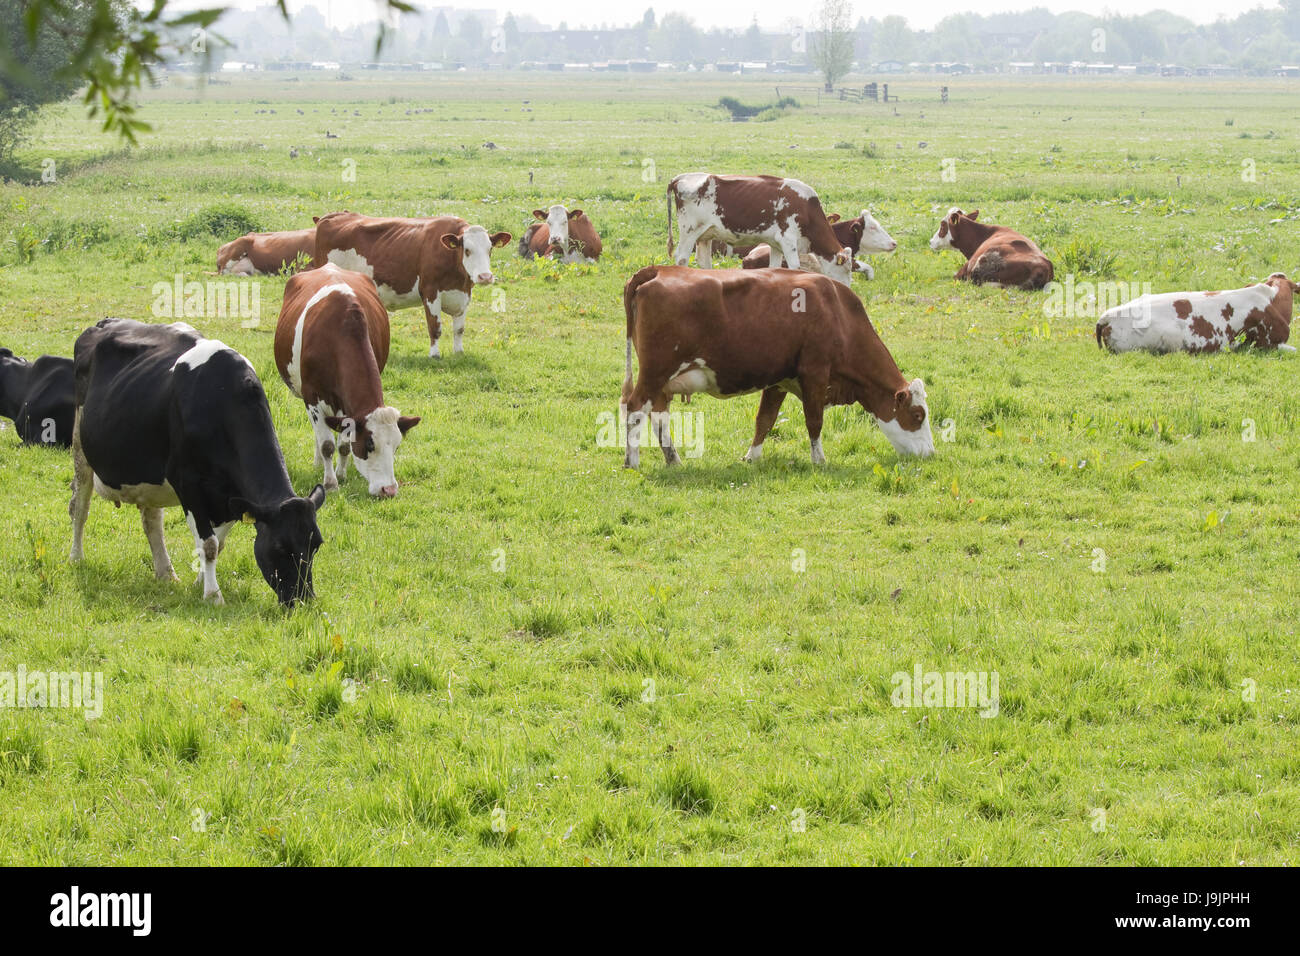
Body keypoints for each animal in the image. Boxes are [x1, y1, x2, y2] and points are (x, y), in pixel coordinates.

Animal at [69, 318, 326, 606]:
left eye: (316, 544)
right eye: (281, 546)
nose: (303, 600)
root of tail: (106, 322)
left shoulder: (232, 498)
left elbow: (219, 542)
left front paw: (199, 582)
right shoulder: (188, 484)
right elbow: (209, 544)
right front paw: (213, 595)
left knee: (152, 521)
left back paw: (166, 573)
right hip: (80, 444)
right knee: (80, 507)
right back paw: (76, 557)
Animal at [274, 263, 421, 498]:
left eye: (397, 446)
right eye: (369, 444)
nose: (389, 489)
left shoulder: (347, 408)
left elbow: (343, 444)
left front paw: (341, 474)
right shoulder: (311, 397)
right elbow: (326, 444)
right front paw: (330, 483)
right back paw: (318, 462)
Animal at [312, 212, 511, 358]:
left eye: (490, 250)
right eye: (467, 250)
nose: (485, 276)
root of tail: (332, 216)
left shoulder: (463, 294)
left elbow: (459, 329)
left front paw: (459, 352)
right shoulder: (430, 292)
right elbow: (435, 327)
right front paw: (434, 354)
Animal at [620, 266, 934, 468]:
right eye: (917, 415)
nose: (930, 454)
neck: (838, 312)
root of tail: (659, 269)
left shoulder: (779, 381)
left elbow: (765, 420)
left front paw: (752, 457)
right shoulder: (815, 373)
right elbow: (814, 420)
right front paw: (819, 460)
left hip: (661, 381)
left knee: (658, 415)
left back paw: (673, 459)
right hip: (655, 372)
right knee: (634, 409)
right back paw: (632, 461)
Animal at [666, 173, 853, 284]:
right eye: (846, 269)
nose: (846, 289)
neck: (807, 208)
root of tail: (681, 177)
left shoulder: (776, 244)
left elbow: (775, 267)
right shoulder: (788, 240)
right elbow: (795, 267)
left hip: (705, 235)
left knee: (704, 262)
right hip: (689, 232)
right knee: (681, 258)